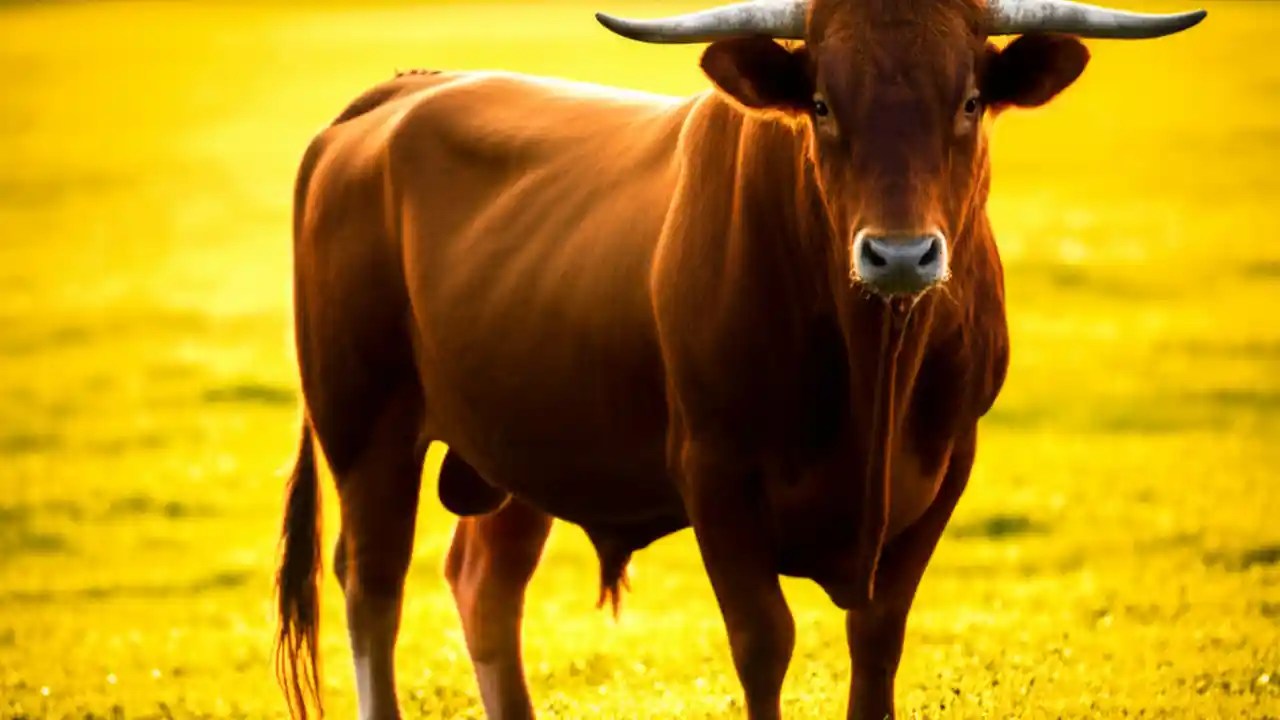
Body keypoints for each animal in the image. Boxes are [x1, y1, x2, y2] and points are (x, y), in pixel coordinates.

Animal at [273, 0, 1204, 717]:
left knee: (484, 583)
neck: (872, 368)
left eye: (971, 99)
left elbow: (877, 643)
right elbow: (764, 641)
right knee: (373, 588)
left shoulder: (945, 469)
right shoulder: (714, 473)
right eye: (822, 103)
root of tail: (404, 91)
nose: (900, 256)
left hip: (517, 441)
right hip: (365, 426)